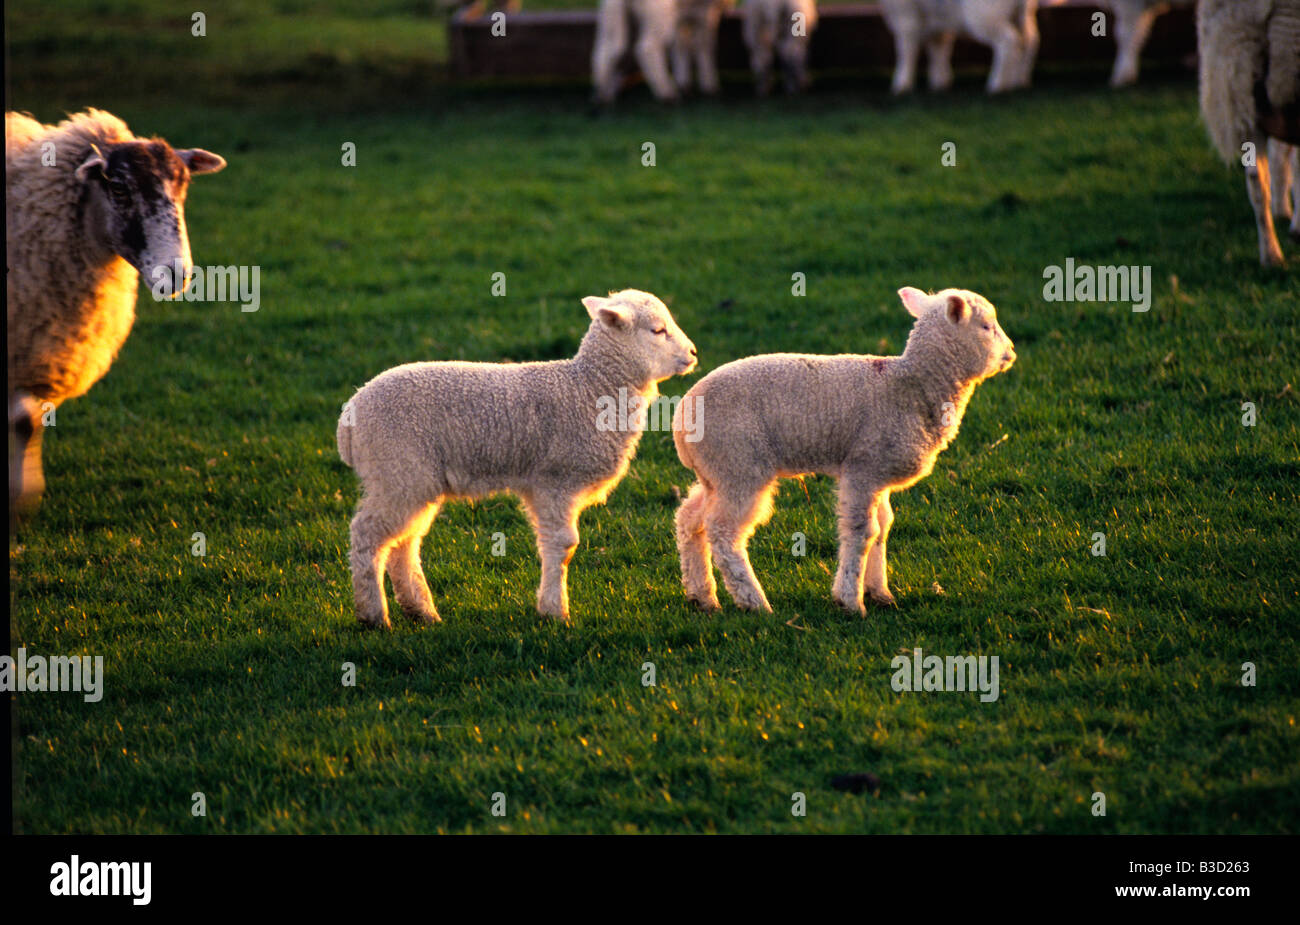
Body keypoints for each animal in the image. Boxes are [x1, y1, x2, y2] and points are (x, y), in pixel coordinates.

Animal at [6, 109, 225, 519]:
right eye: (120, 189)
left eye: (184, 186)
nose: (177, 274)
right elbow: (24, 422)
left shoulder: (40, 352)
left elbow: (28, 423)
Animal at [337, 289, 698, 629]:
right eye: (657, 330)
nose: (694, 353)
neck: (590, 388)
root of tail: (348, 418)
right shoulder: (556, 481)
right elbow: (564, 546)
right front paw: (556, 612)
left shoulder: (540, 487)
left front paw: (549, 606)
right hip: (398, 470)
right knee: (367, 535)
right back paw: (373, 615)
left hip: (412, 480)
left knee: (404, 544)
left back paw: (421, 612)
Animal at [672, 287, 1015, 615]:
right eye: (987, 326)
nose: (1011, 352)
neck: (912, 385)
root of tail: (681, 419)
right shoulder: (863, 467)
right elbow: (863, 531)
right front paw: (850, 600)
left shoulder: (878, 472)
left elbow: (883, 527)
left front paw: (880, 593)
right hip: (740, 464)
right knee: (724, 533)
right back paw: (754, 601)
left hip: (717, 472)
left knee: (690, 519)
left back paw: (701, 596)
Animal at [880, 0, 1039, 95]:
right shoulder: (936, 21)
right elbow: (938, 49)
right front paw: (939, 82)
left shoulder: (905, 14)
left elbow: (906, 50)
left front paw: (901, 86)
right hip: (1022, 15)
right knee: (1030, 40)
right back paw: (1020, 80)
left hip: (986, 14)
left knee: (1008, 40)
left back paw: (997, 85)